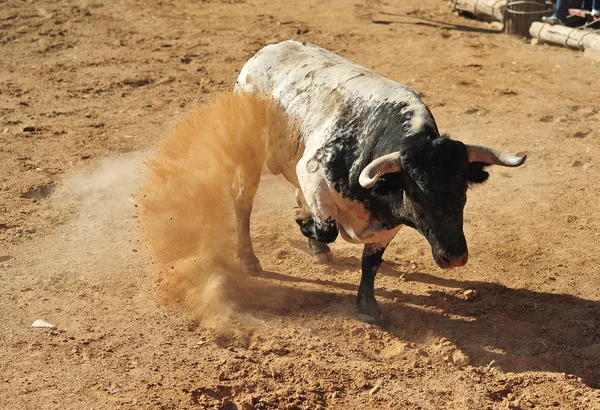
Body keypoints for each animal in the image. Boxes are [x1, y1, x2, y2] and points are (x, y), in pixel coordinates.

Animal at [233, 40, 524, 326]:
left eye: (463, 190)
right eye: (416, 195)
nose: (454, 257)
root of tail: (264, 52)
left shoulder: (388, 222)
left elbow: (371, 263)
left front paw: (367, 307)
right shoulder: (312, 173)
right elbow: (328, 228)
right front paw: (304, 225)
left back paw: (316, 249)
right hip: (249, 153)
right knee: (243, 204)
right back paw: (249, 260)